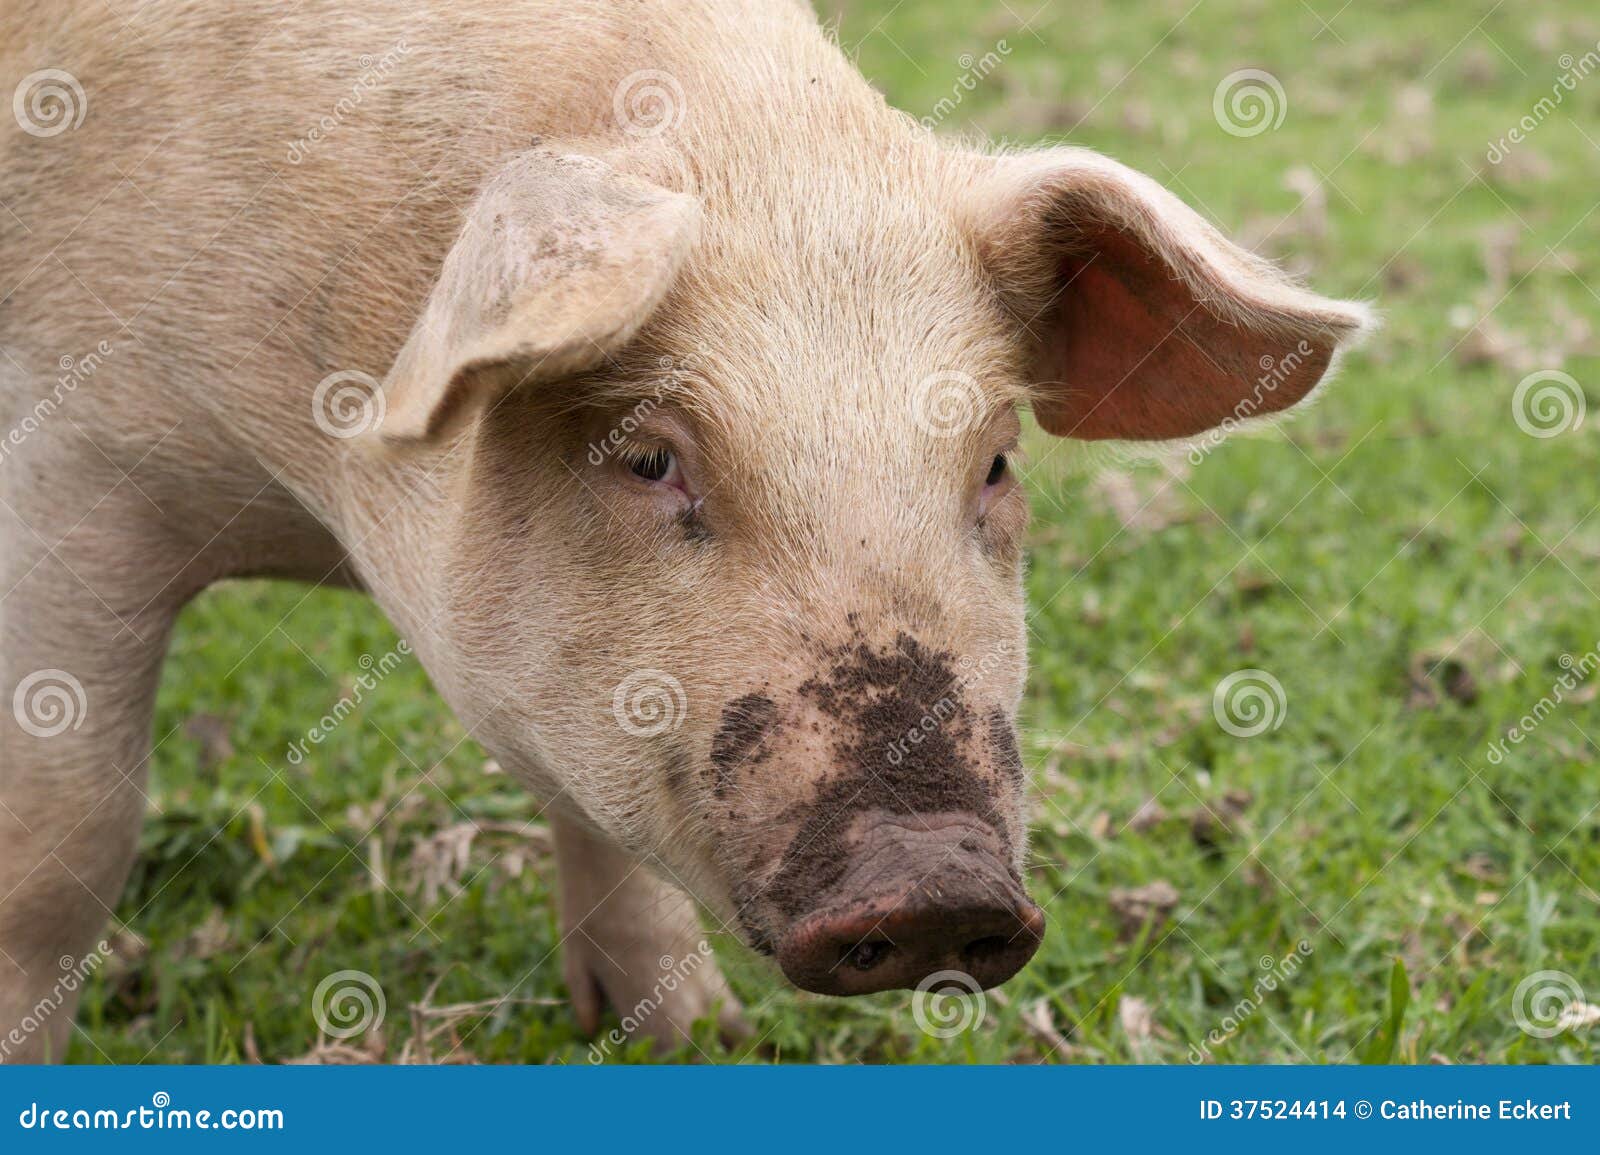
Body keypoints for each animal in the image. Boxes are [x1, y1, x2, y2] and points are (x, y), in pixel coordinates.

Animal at [0, 0, 1372, 1060]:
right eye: (650, 457)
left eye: (993, 461)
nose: (935, 878)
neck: (318, 498)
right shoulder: (70, 474)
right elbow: (62, 844)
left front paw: (695, 1035)